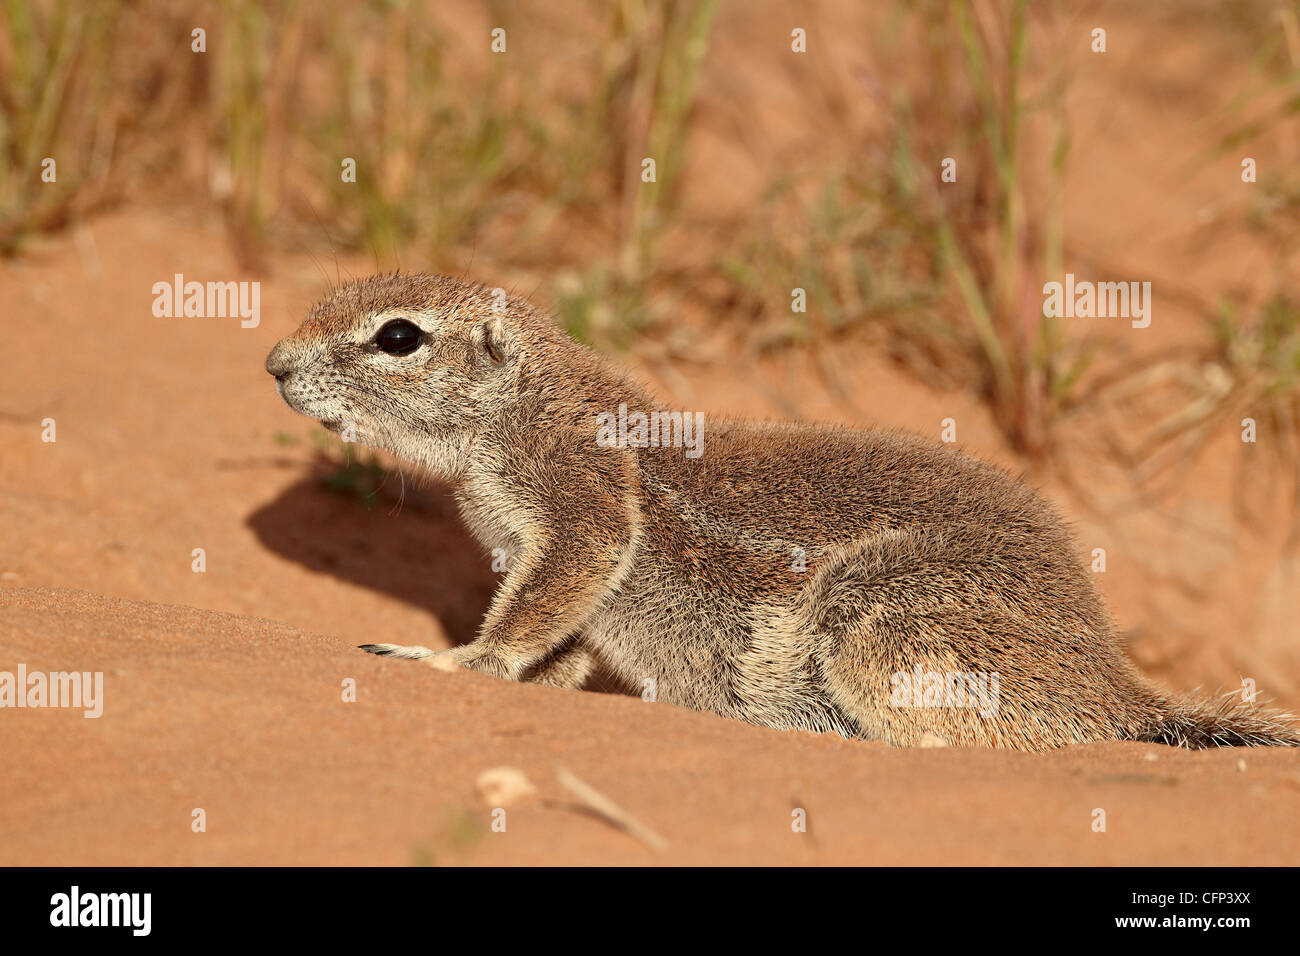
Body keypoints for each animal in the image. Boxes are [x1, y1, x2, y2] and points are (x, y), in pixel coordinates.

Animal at [265, 273, 1298, 750]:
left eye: (398, 337)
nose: (273, 363)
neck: (532, 401)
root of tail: (1113, 685)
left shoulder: (580, 500)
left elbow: (537, 606)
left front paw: (450, 660)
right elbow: (559, 644)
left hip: (882, 611)